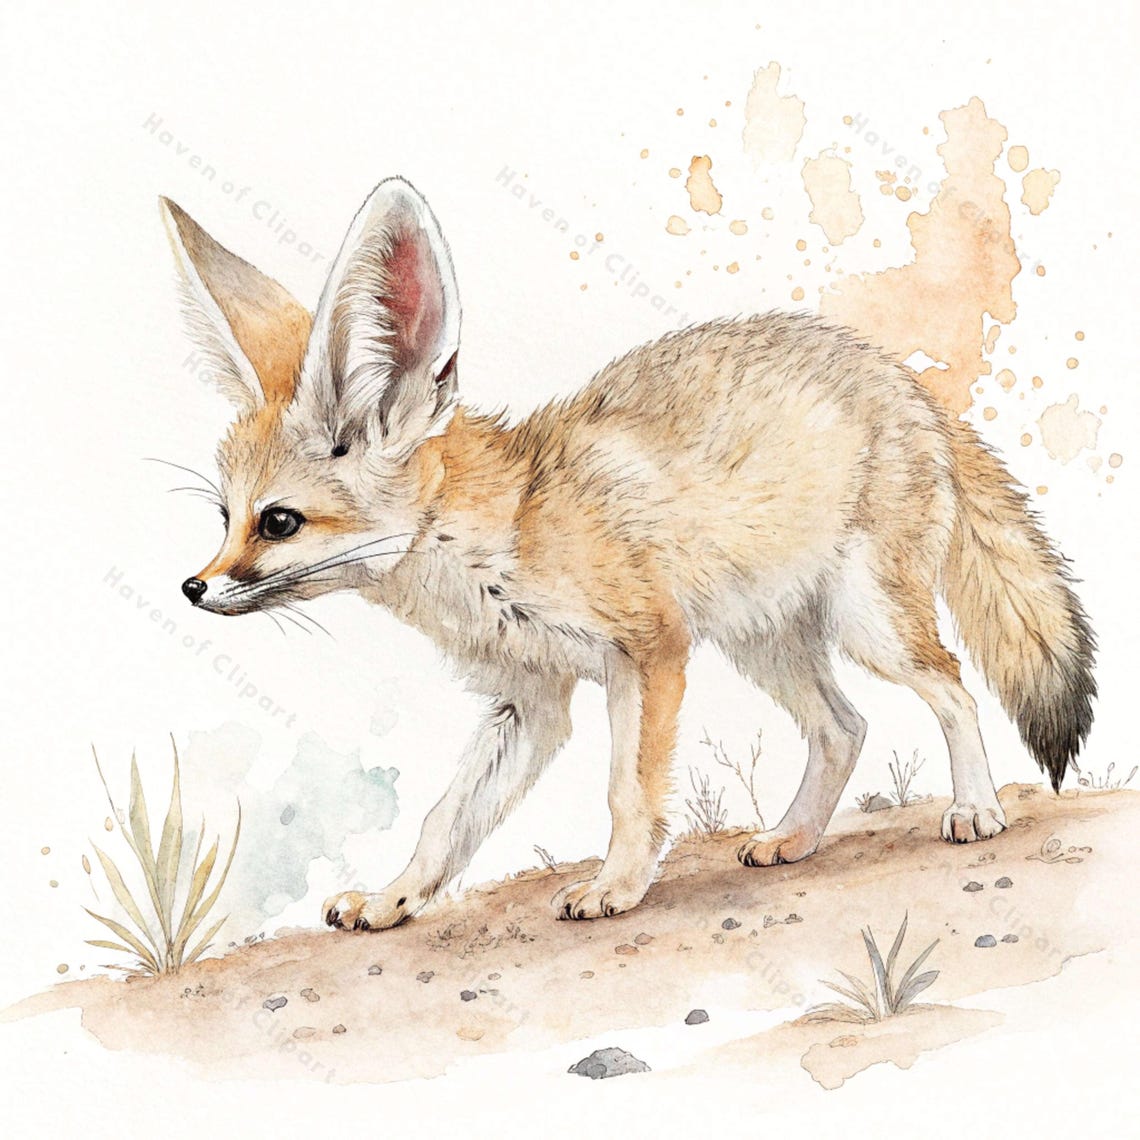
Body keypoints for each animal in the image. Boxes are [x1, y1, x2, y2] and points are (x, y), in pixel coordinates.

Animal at [161, 177, 1095, 930]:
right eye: (226, 515)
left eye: (279, 523)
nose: (193, 588)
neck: (509, 529)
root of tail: (903, 382)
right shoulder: (530, 699)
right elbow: (447, 818)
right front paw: (395, 899)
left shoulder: (648, 652)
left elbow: (628, 794)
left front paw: (616, 886)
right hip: (764, 641)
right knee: (845, 727)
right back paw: (793, 837)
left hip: (868, 625)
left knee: (952, 687)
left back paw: (976, 809)